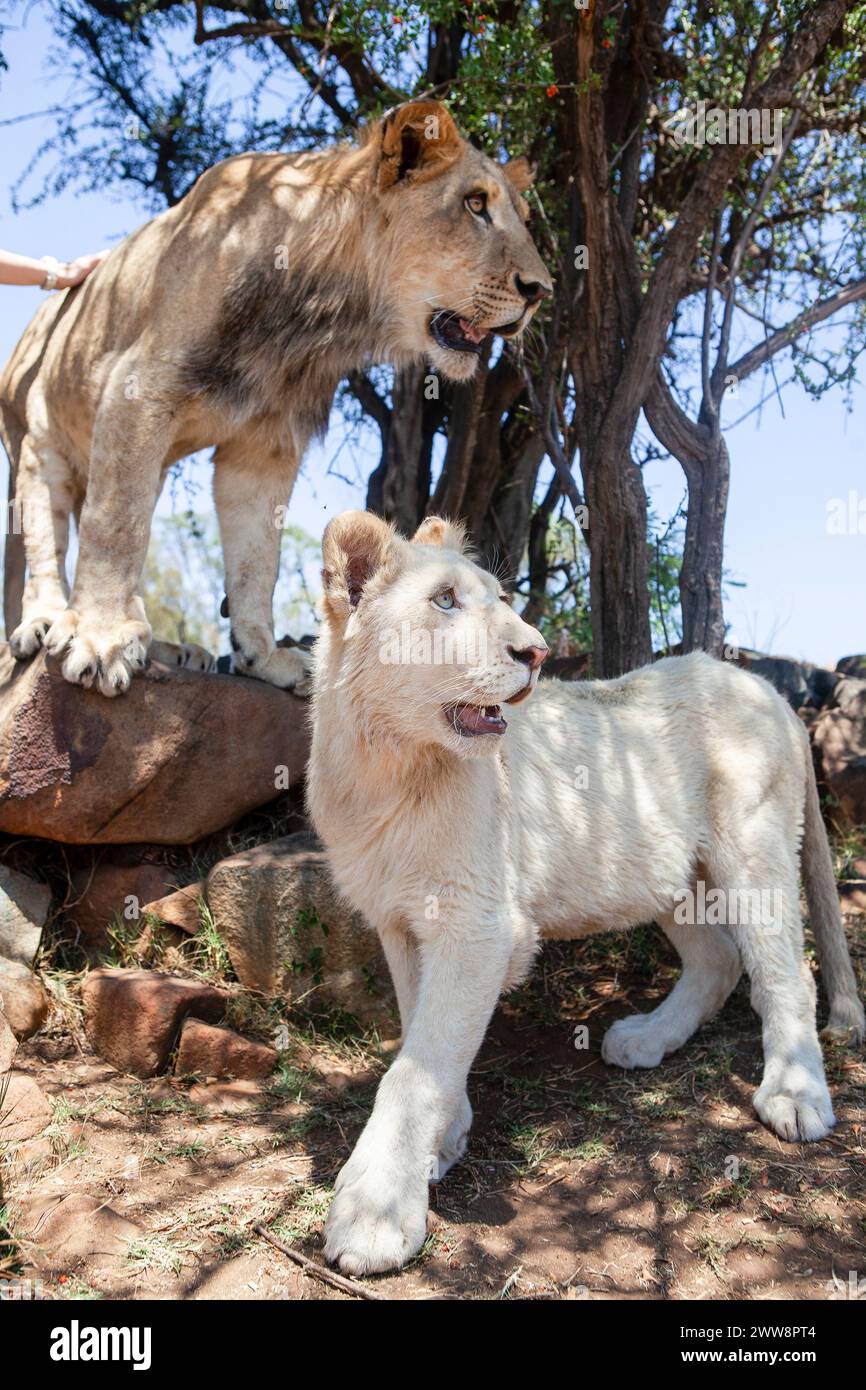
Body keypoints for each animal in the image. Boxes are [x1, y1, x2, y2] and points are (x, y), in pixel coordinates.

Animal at [0, 101, 550, 697]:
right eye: (475, 204)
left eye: (523, 216)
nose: (541, 290)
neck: (319, 314)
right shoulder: (138, 392)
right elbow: (116, 528)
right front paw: (101, 637)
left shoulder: (265, 445)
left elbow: (257, 559)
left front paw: (260, 656)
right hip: (40, 444)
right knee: (45, 543)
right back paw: (47, 621)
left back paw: (171, 646)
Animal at [306, 510, 865, 1275]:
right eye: (444, 601)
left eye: (499, 598)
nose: (538, 652)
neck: (385, 765)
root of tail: (769, 689)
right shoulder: (400, 921)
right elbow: (421, 1031)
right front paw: (446, 1140)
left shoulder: (481, 924)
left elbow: (416, 1067)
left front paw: (375, 1214)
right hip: (668, 874)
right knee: (718, 960)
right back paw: (646, 1038)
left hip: (752, 848)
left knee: (784, 972)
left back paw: (796, 1094)